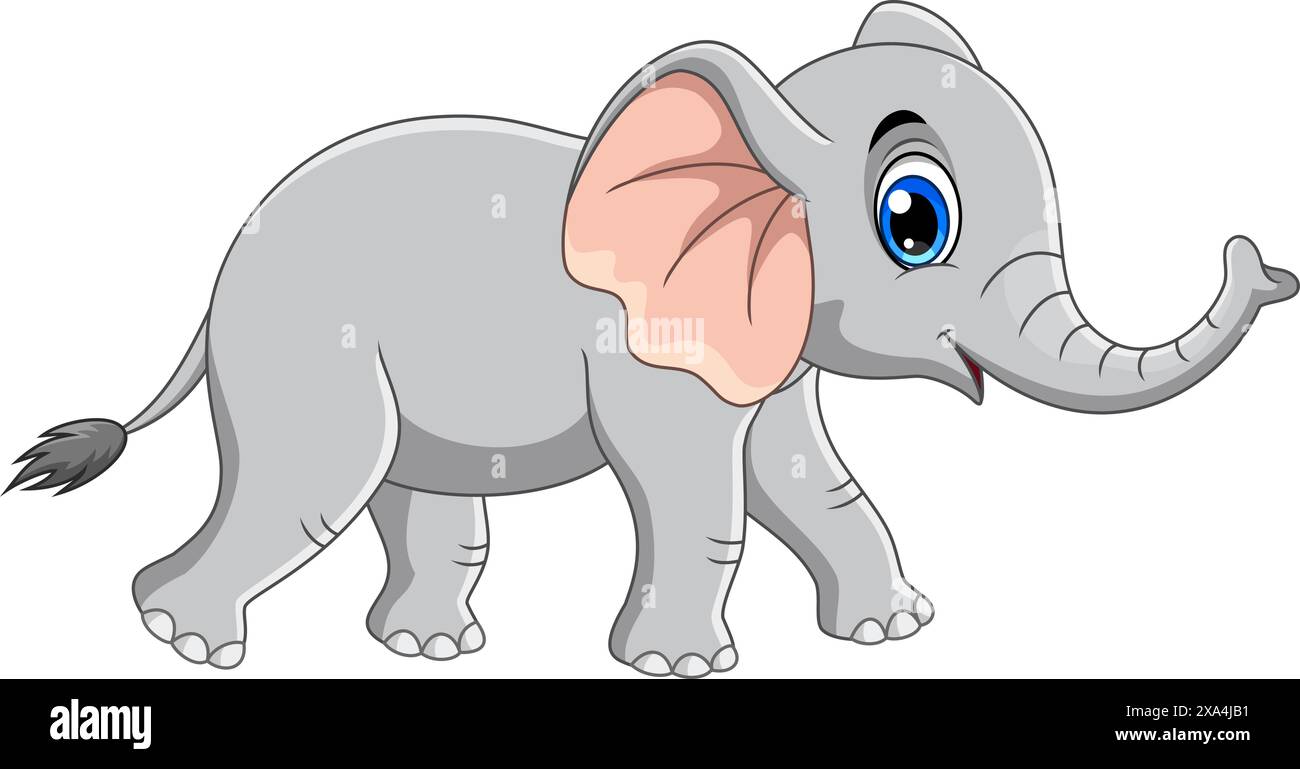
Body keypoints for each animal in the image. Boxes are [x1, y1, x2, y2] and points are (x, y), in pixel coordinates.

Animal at [7, 2, 1296, 678]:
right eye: (913, 221)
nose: (1266, 260)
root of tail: (221, 267)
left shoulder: (774, 336)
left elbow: (806, 478)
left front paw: (890, 633)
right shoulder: (658, 341)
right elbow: (700, 492)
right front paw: (683, 668)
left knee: (418, 495)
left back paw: (429, 647)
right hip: (306, 350)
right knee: (311, 486)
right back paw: (181, 638)